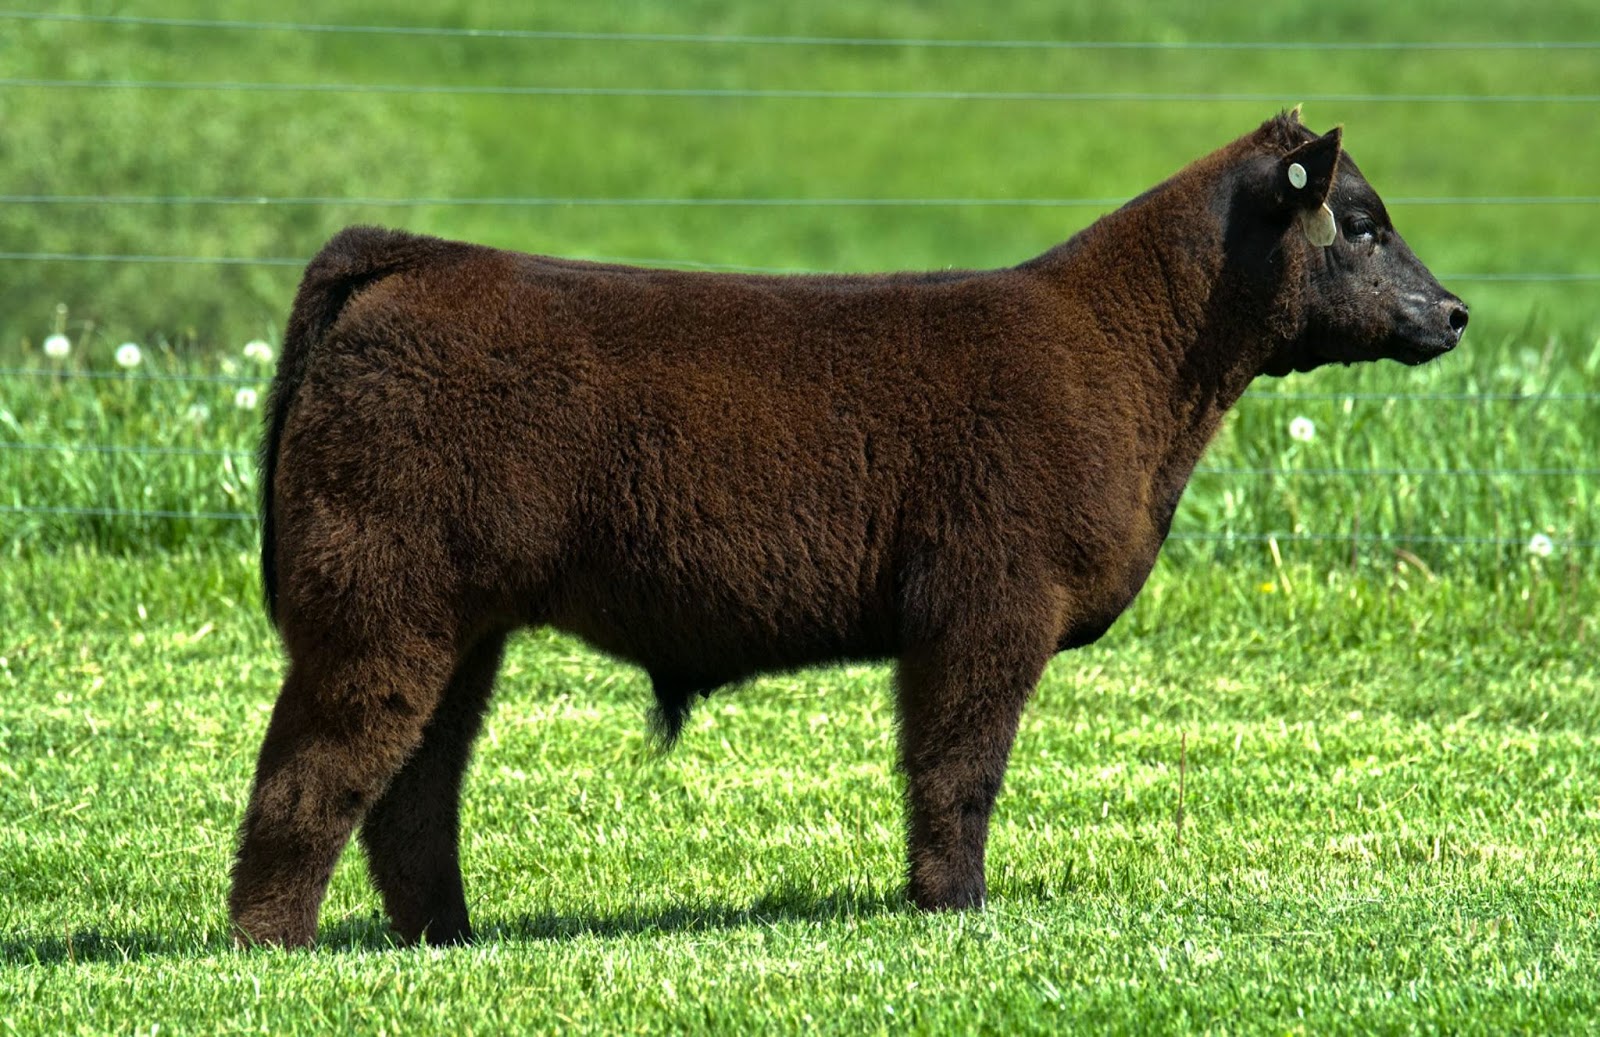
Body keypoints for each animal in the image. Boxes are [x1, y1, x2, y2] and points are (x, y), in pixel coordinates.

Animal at [229, 109, 1467, 947]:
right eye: (1360, 224)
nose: (1453, 312)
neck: (1131, 365)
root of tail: (416, 256)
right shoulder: (986, 606)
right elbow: (957, 767)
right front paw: (952, 907)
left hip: (454, 622)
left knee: (412, 787)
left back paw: (444, 935)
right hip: (379, 598)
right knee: (312, 770)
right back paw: (274, 946)